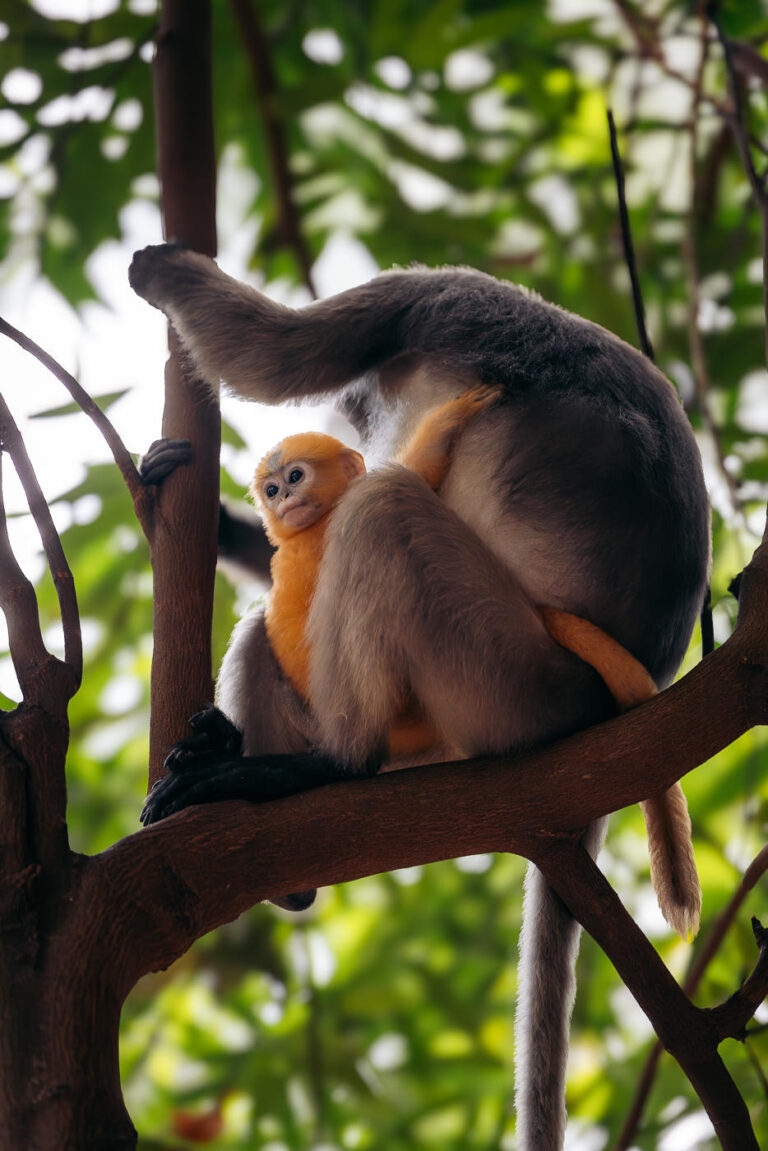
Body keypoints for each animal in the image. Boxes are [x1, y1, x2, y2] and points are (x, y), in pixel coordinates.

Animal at [130, 244, 709, 1151]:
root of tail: (611, 711)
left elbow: (275, 354)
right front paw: (193, 508)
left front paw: (163, 273)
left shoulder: (437, 298)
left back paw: (326, 767)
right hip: (445, 717)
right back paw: (261, 822)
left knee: (381, 508)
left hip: (510, 677)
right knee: (286, 606)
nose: (284, 489)